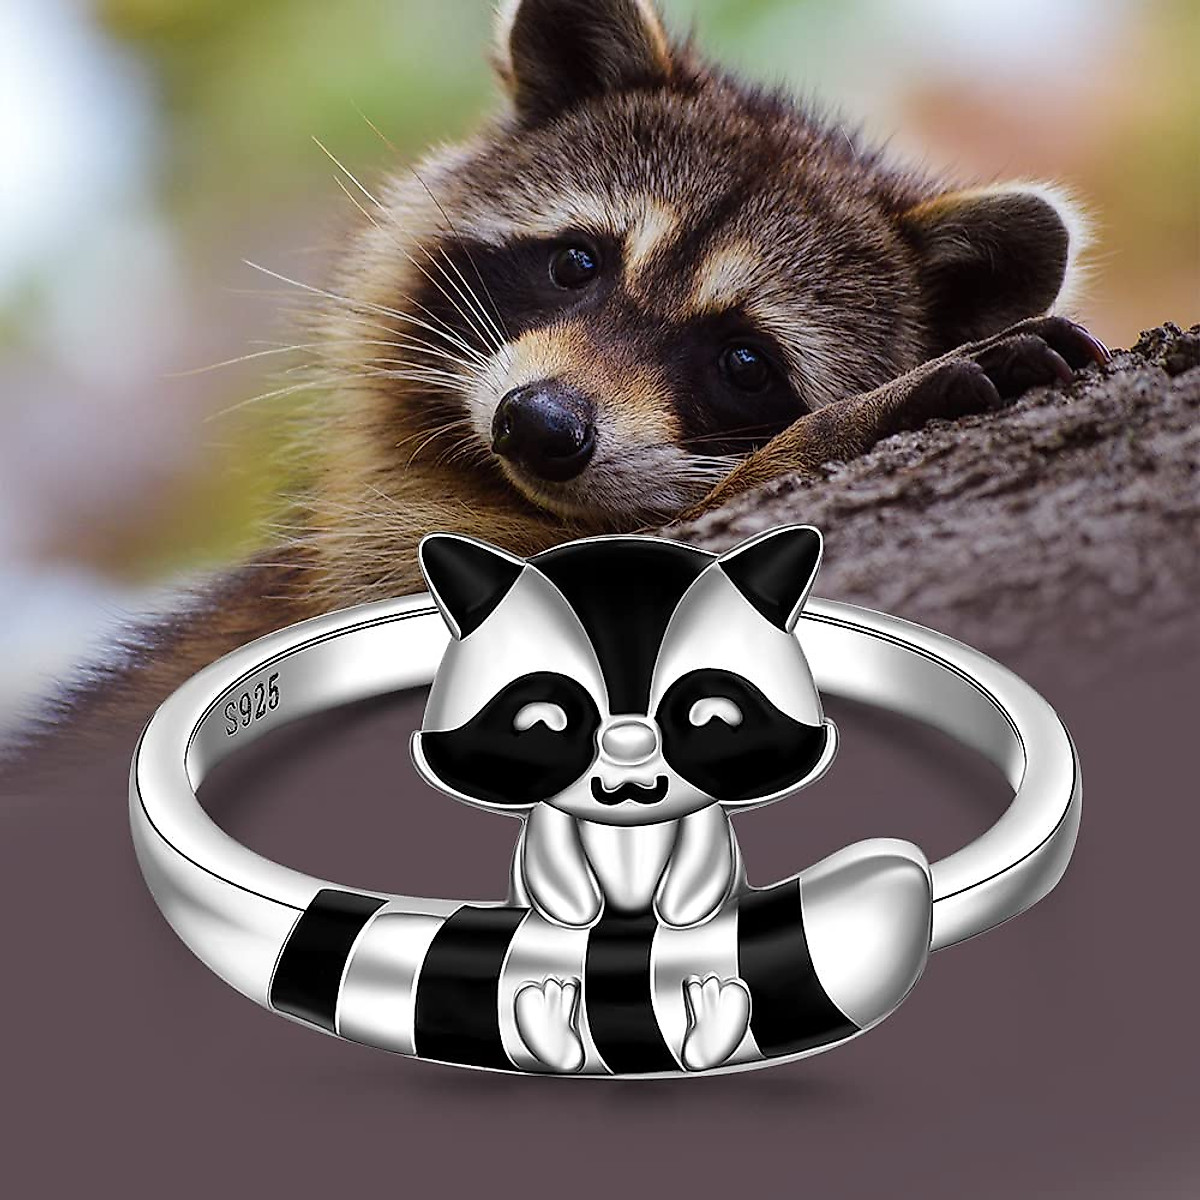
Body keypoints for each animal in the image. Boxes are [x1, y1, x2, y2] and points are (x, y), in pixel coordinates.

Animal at [385, 524, 931, 1074]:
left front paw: (682, 910)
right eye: (542, 722)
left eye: (713, 717)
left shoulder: (705, 825)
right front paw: (576, 910)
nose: (629, 745)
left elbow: (702, 857)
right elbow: (552, 857)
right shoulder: (549, 828)